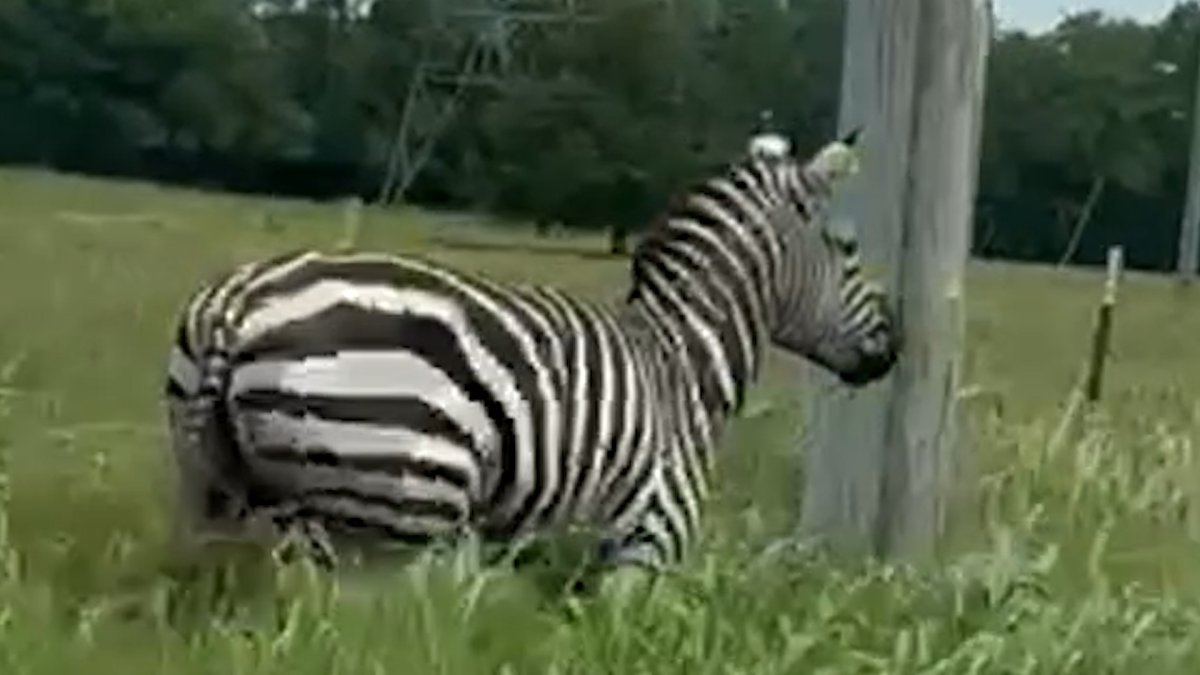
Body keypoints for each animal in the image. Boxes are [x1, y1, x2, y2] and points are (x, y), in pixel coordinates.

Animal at [163, 129, 900, 576]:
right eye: (849, 248)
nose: (893, 349)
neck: (685, 359)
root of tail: (236, 302)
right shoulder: (646, 540)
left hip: (224, 496)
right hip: (391, 518)